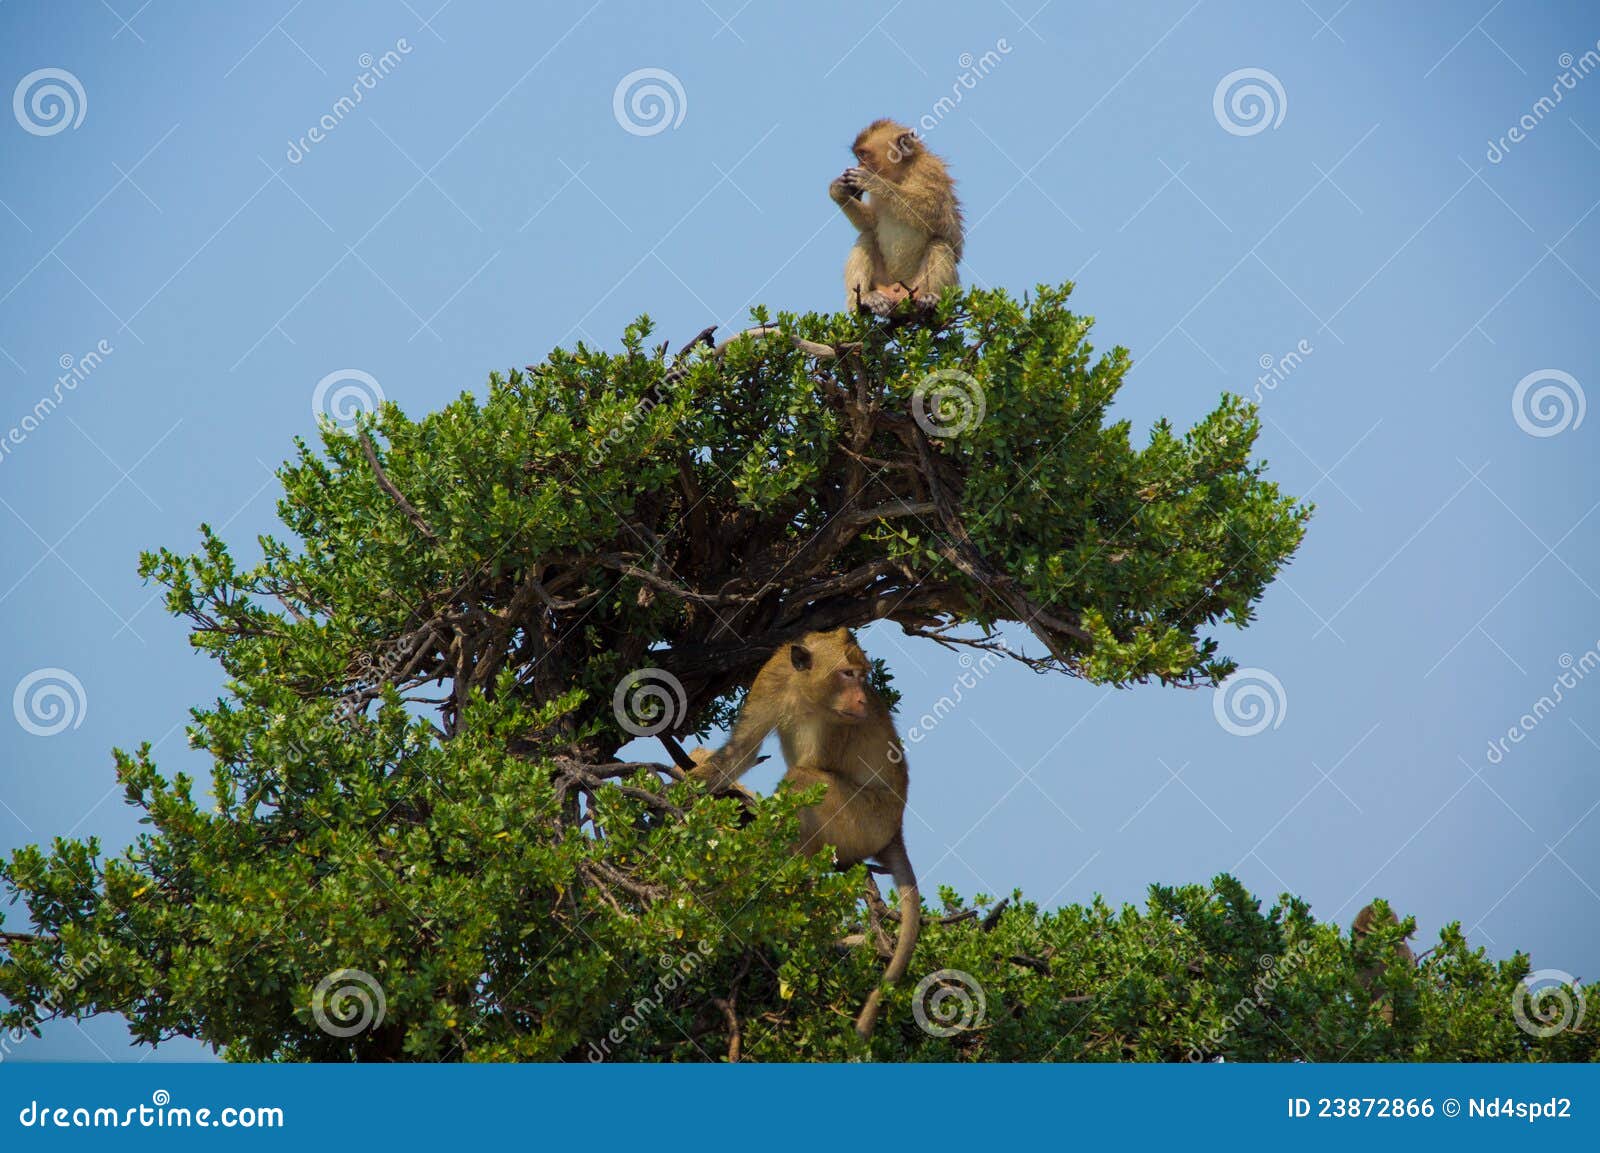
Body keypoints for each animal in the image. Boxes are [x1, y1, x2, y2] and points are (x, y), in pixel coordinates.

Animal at [689, 628, 919, 1039]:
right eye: (847, 674)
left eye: (862, 675)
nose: (863, 698)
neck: (806, 693)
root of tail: (896, 829)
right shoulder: (771, 679)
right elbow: (740, 753)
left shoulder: (837, 726)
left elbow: (806, 779)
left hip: (865, 821)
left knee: (805, 782)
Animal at [828, 119, 963, 316]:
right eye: (858, 157)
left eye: (864, 156)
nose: (859, 167)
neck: (901, 173)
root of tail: (898, 292)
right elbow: (871, 224)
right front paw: (838, 189)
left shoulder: (930, 170)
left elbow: (942, 220)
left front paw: (877, 182)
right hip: (882, 282)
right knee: (867, 237)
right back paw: (865, 300)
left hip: (917, 285)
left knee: (939, 243)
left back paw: (933, 298)